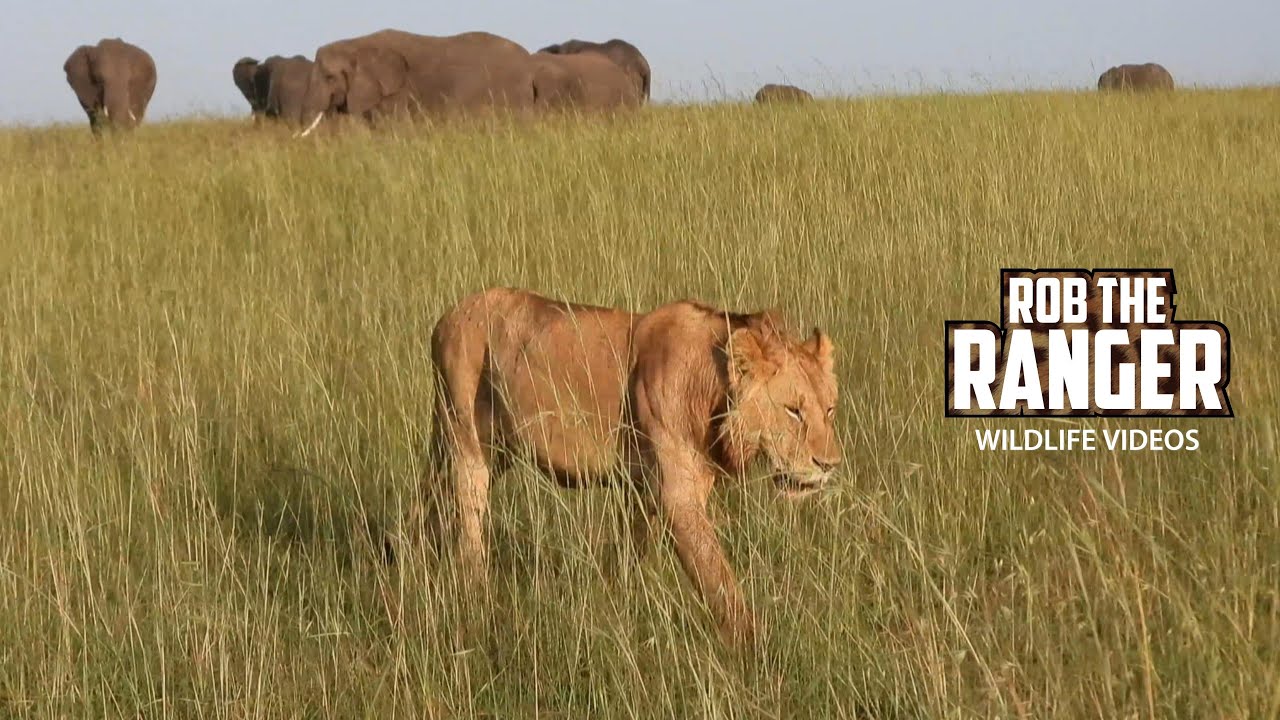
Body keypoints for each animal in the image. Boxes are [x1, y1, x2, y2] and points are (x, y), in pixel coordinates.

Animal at [424, 287, 842, 647]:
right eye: (793, 410)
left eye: (829, 409)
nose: (829, 464)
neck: (714, 392)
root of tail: (446, 317)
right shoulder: (678, 498)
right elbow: (719, 581)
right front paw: (756, 650)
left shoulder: (646, 492)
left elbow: (631, 555)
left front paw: (614, 604)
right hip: (468, 445)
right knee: (469, 530)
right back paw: (475, 600)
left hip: (488, 453)